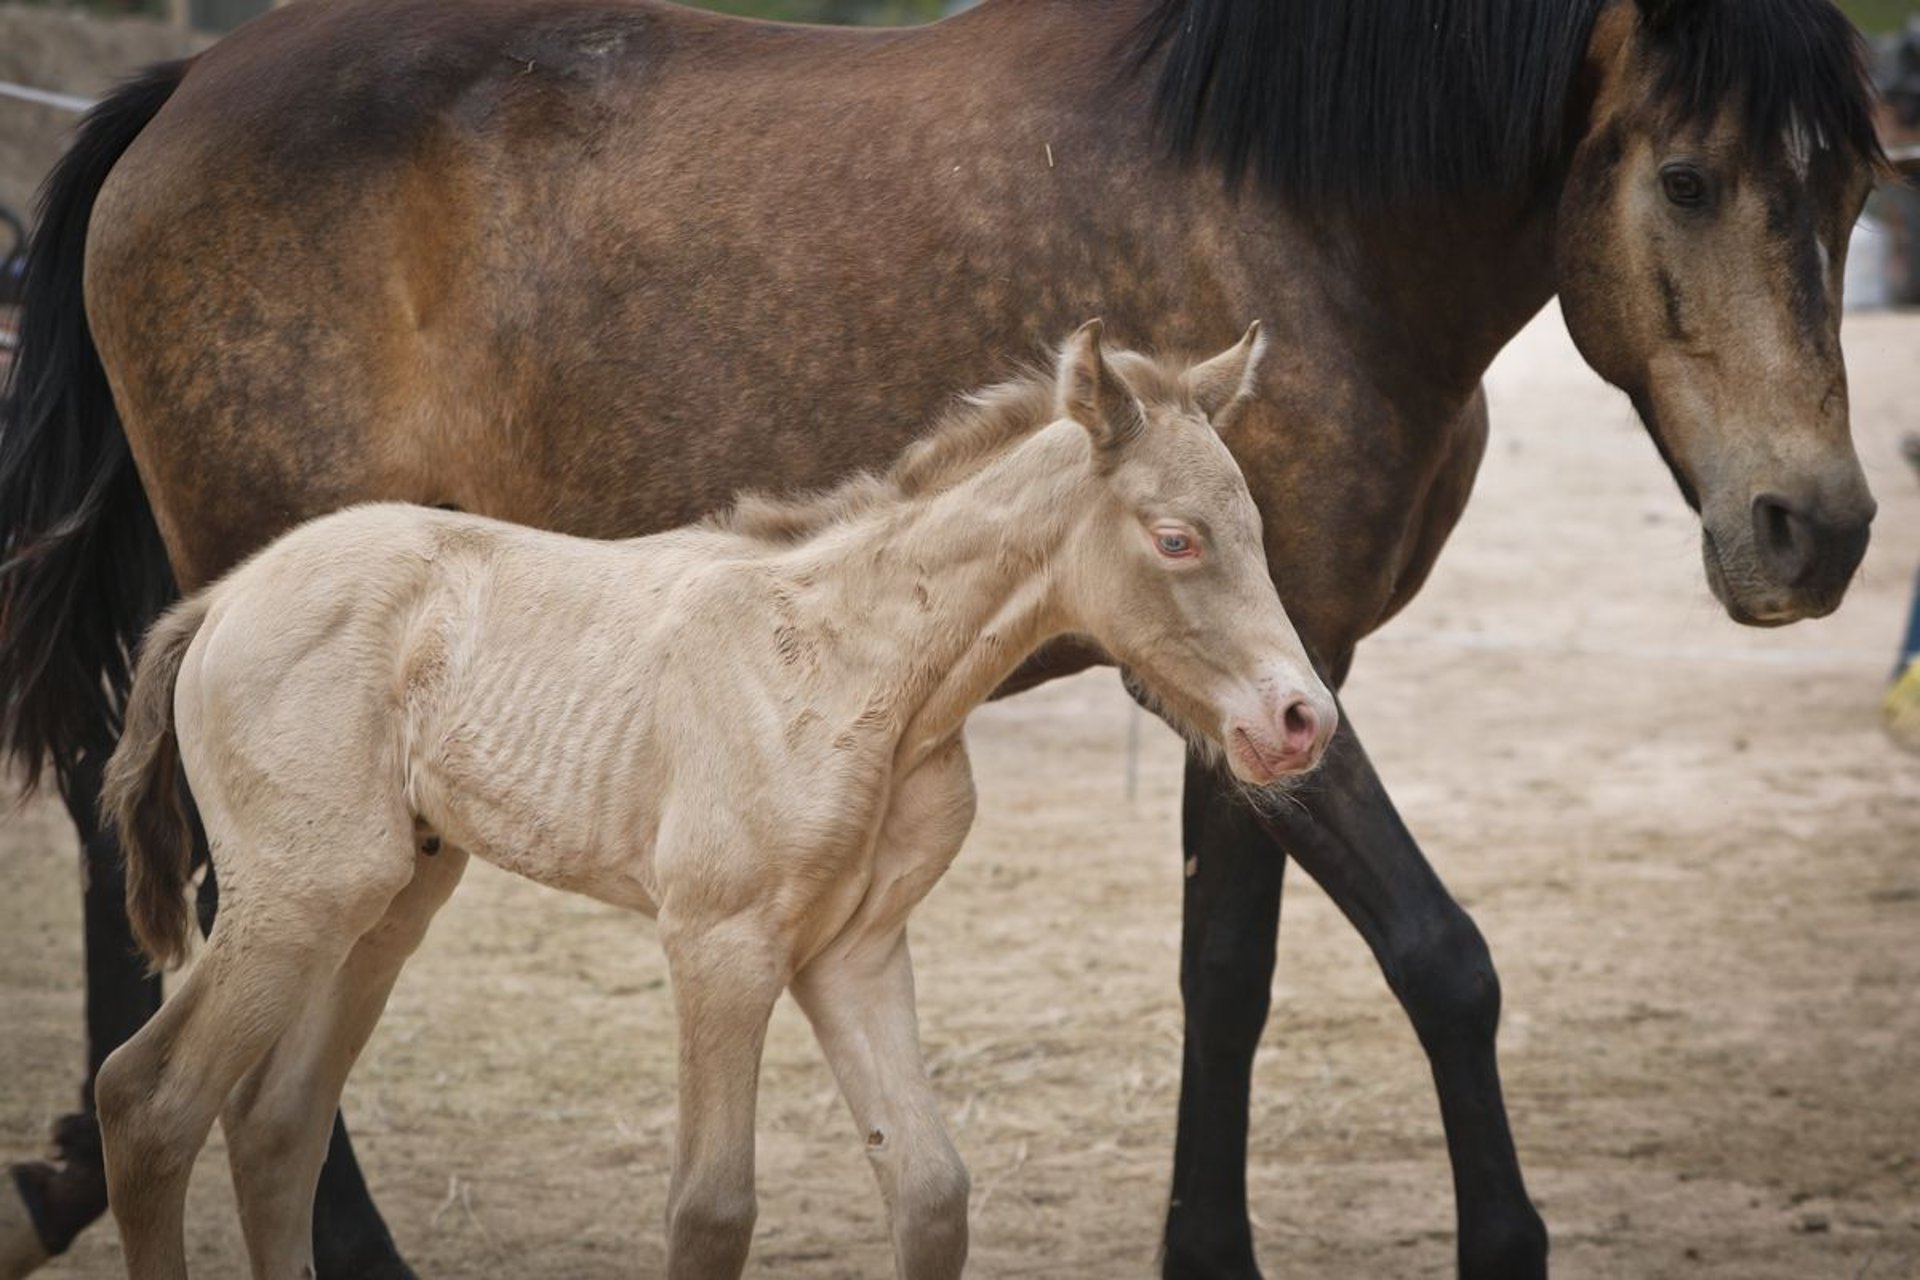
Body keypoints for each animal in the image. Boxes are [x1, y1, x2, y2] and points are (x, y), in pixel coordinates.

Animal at [92, 323, 1335, 1280]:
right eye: (1175, 537)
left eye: (1259, 526)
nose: (1299, 718)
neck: (863, 662)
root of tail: (221, 599)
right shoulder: (720, 939)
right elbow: (712, 1211)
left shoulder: (856, 945)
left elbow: (931, 1191)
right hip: (298, 894)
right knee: (149, 1101)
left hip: (388, 901)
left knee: (274, 1123)